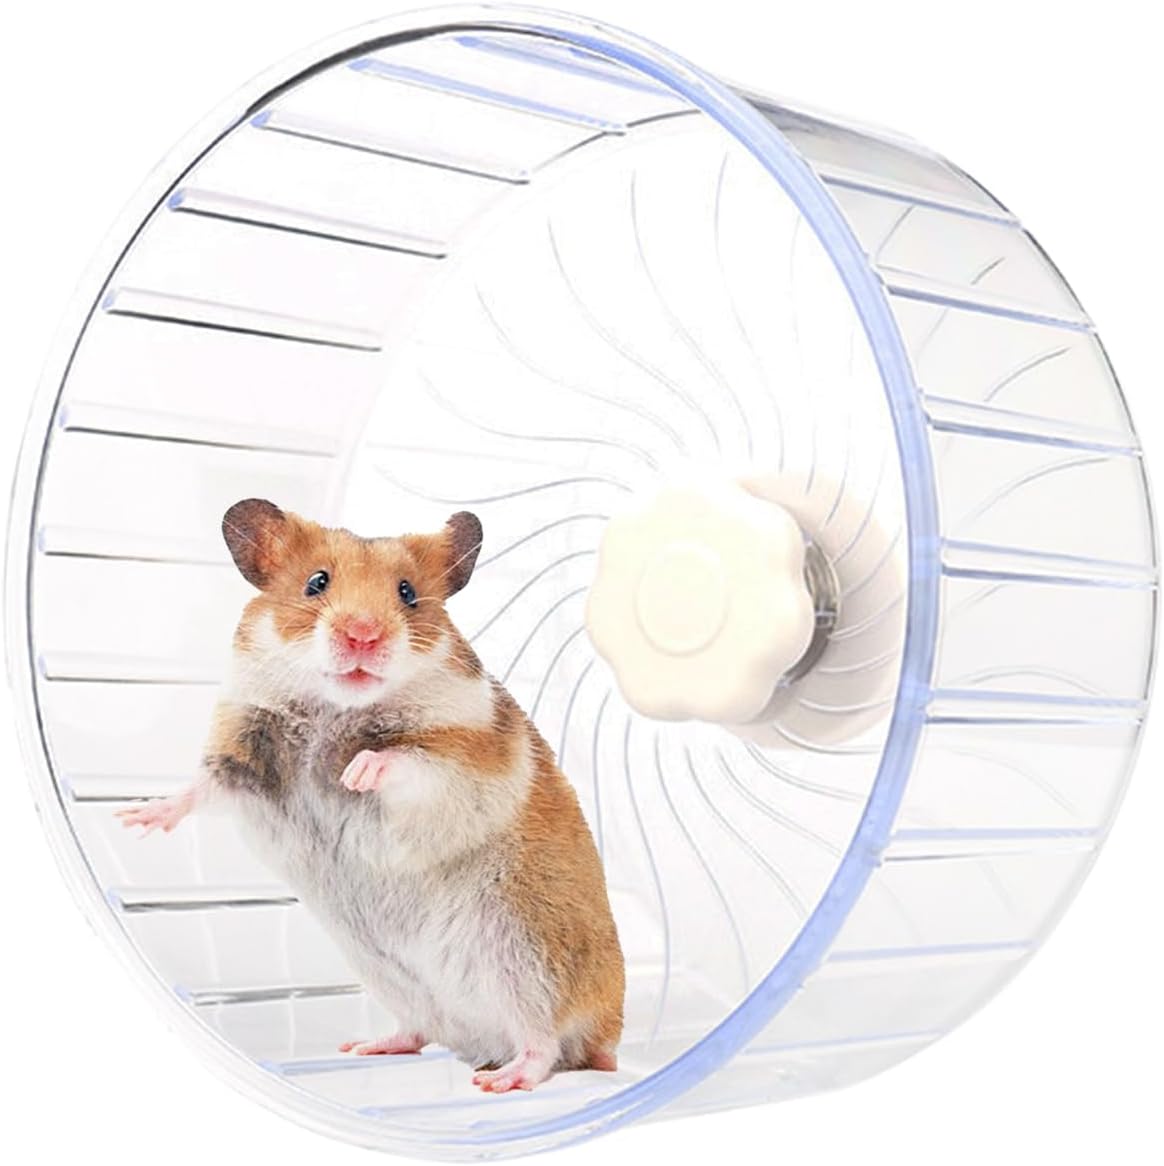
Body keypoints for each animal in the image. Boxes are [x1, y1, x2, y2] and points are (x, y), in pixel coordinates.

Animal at [119, 498, 624, 1092]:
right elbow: (201, 787)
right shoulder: (242, 751)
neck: (335, 706)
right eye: (316, 582)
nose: (363, 635)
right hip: (391, 977)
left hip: (527, 957)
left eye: (407, 592)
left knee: (545, 1044)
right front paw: (132, 818)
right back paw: (366, 1046)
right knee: (421, 1031)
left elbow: (406, 761)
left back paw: (501, 1079)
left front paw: (355, 773)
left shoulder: (465, 759)